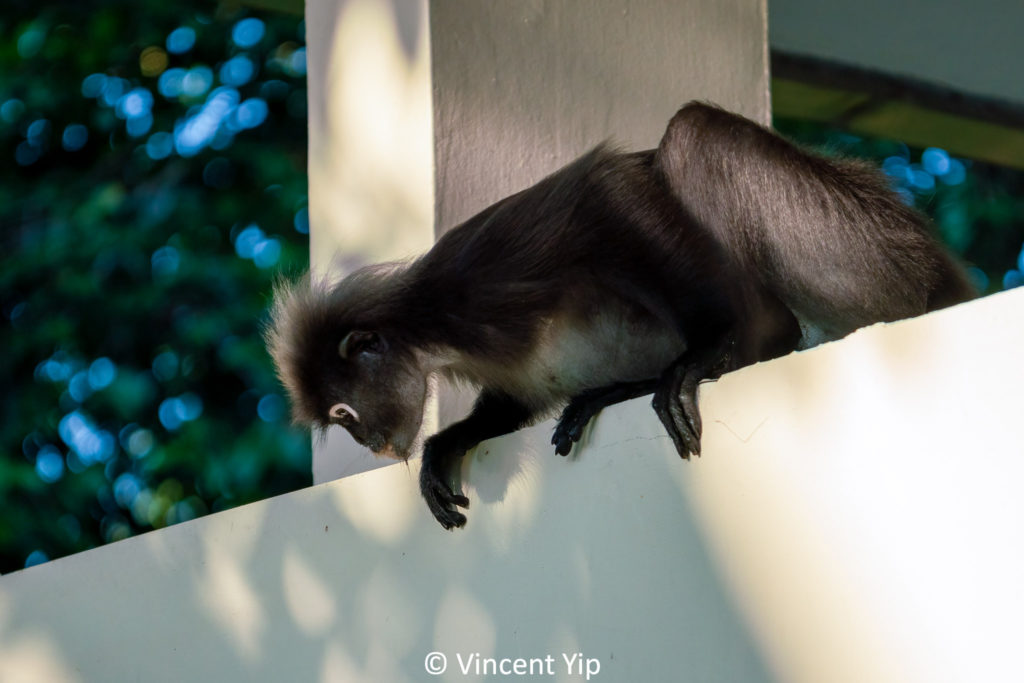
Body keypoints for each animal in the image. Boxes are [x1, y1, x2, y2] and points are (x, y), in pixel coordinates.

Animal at [266, 102, 976, 530]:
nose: (373, 445)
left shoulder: (487, 266)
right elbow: (517, 401)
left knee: (695, 136)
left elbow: (612, 199)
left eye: (342, 413)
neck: (441, 335)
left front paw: (704, 352)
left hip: (867, 255)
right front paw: (450, 441)